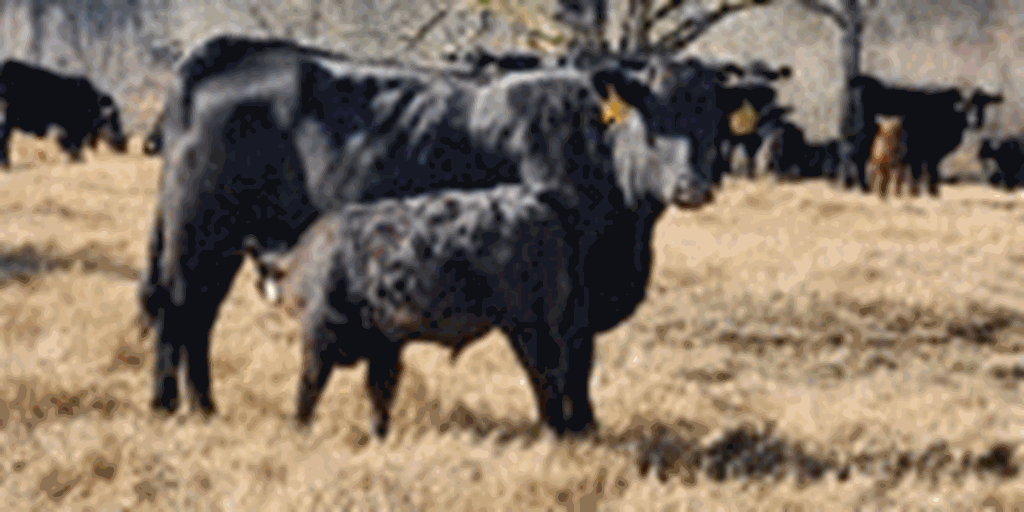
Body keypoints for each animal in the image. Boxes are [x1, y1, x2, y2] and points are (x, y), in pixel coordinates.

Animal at [138, 36, 718, 423]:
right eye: (652, 117)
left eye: (711, 119)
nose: (694, 186)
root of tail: (230, 52)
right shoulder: (573, 297)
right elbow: (574, 364)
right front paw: (583, 428)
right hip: (196, 236)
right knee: (177, 311)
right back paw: (165, 405)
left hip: (222, 246)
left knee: (199, 318)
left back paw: (205, 406)